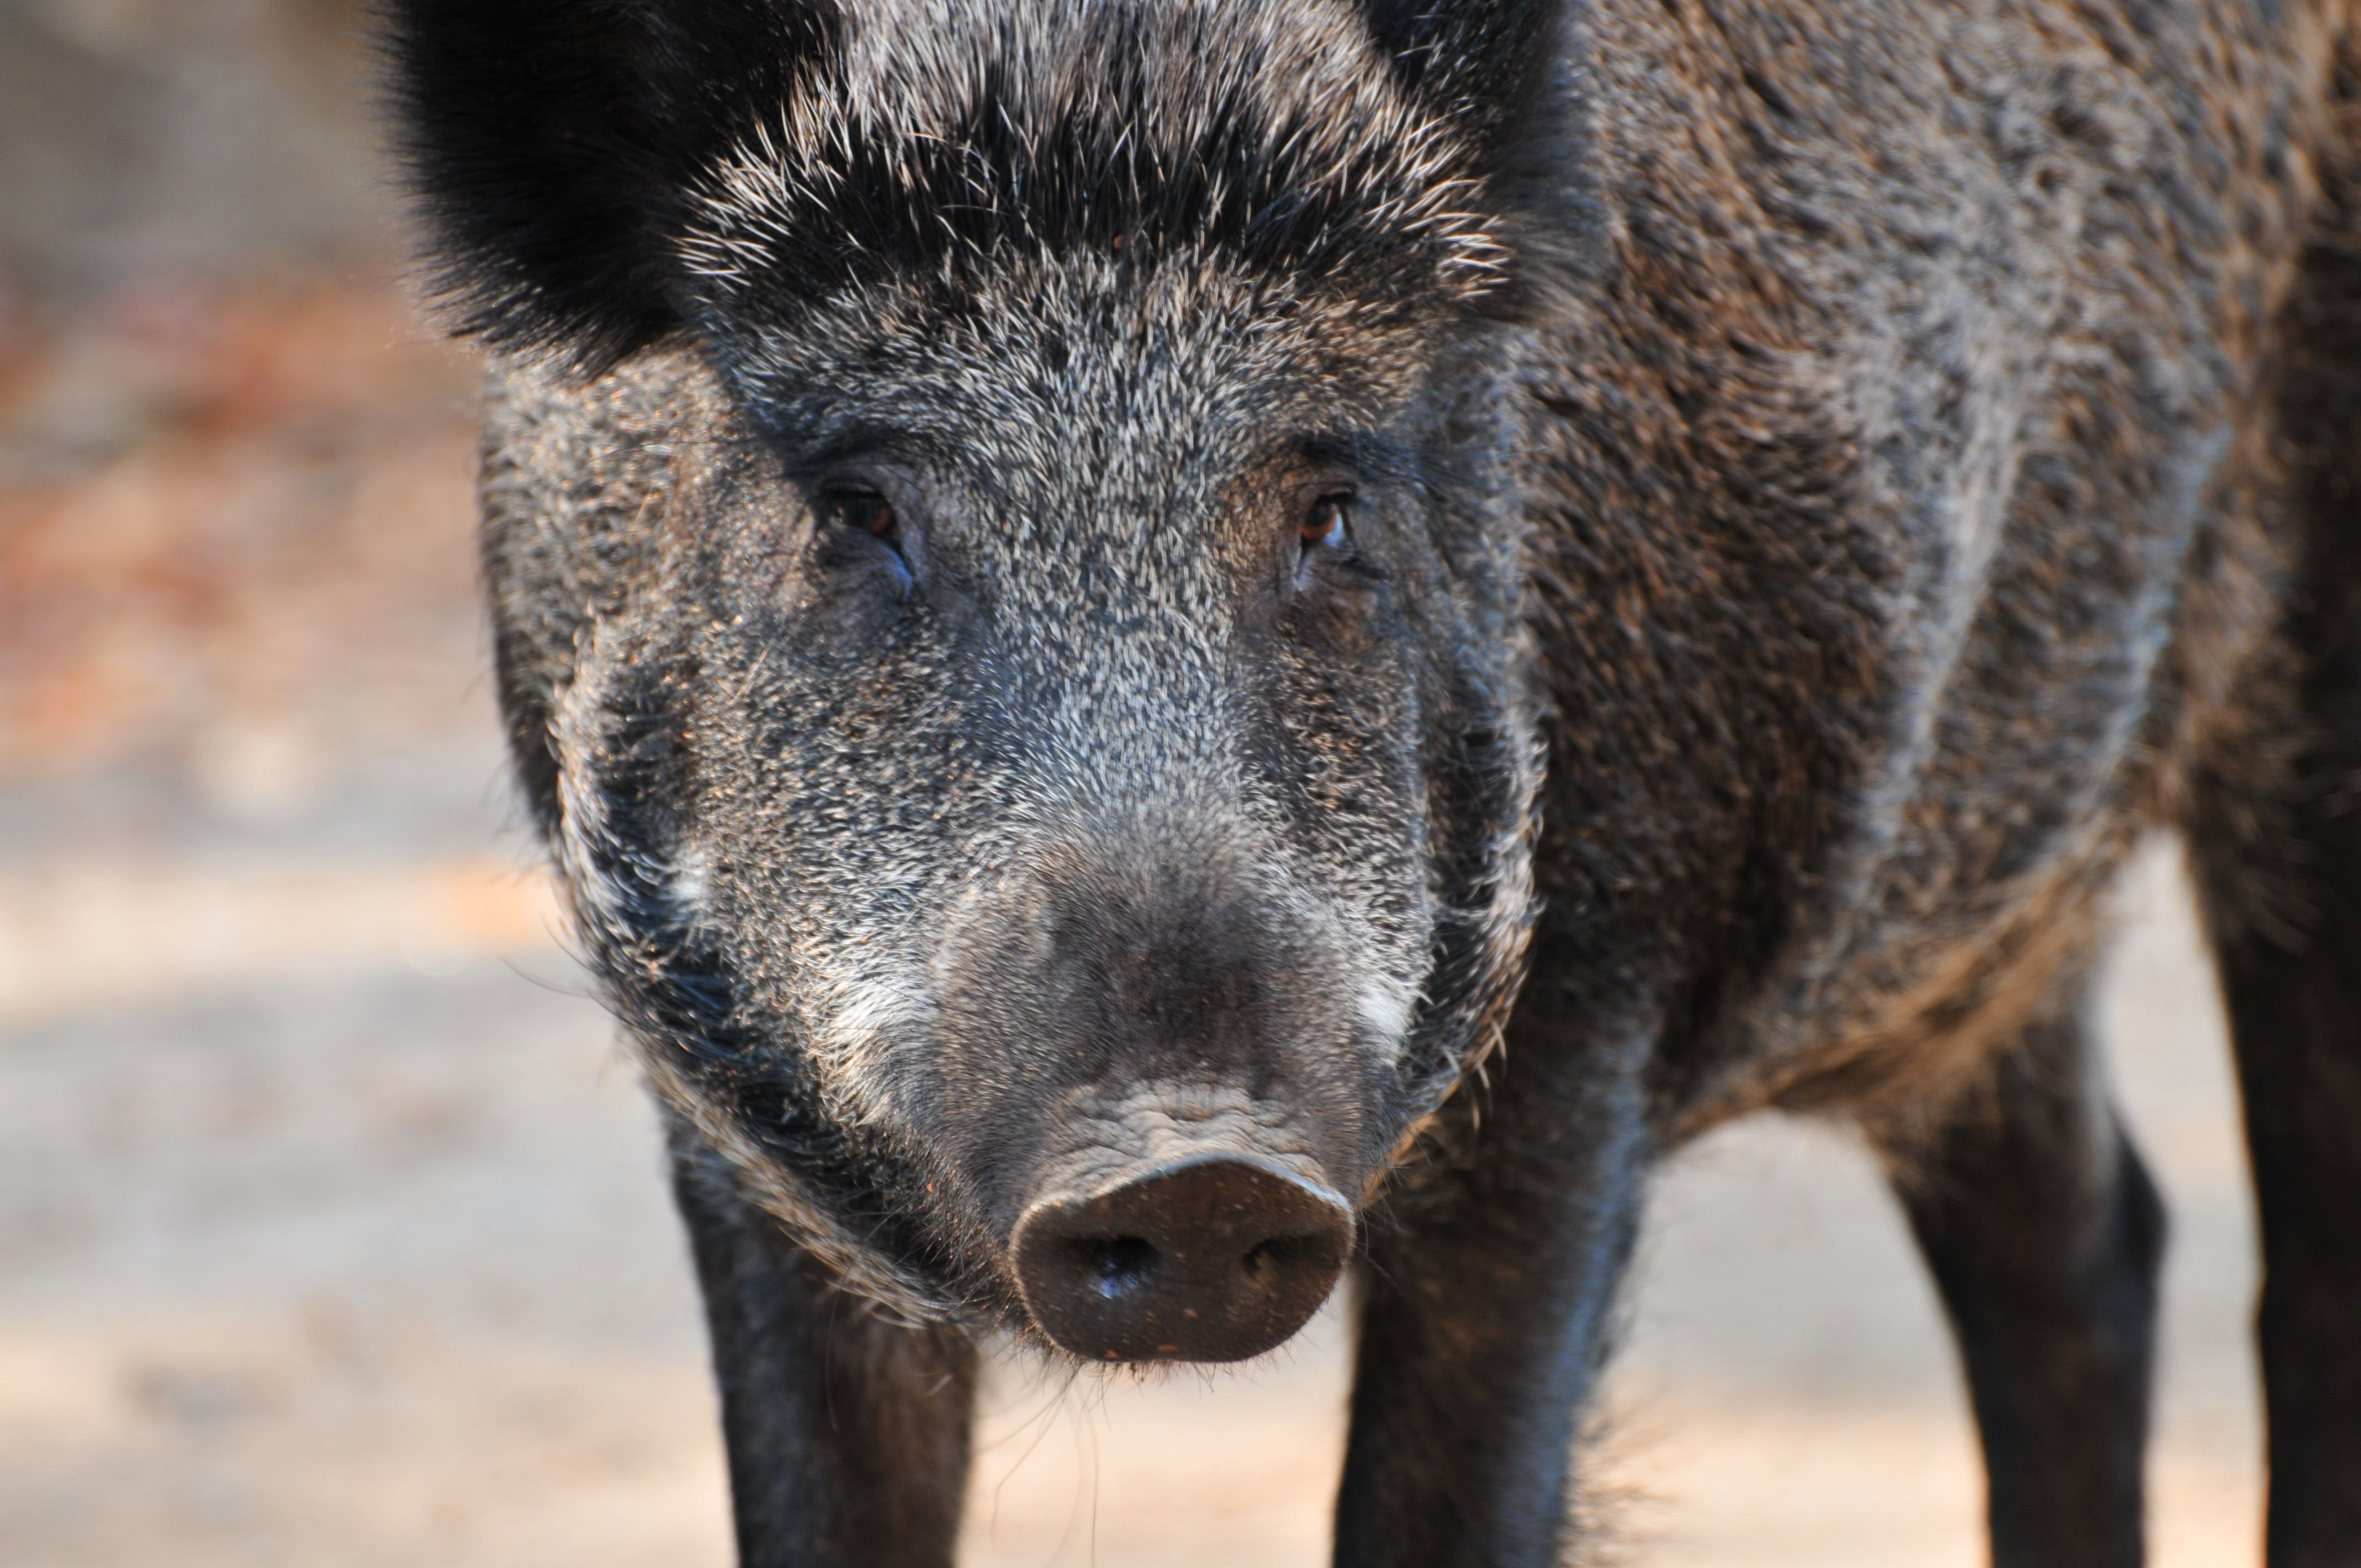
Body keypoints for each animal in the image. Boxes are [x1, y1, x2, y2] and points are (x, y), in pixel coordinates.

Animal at [385, 1, 2361, 1562]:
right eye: (857, 507)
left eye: (1330, 506)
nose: (1194, 1162)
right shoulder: (727, 1130)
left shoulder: (1588, 1013)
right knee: (2086, 1249)